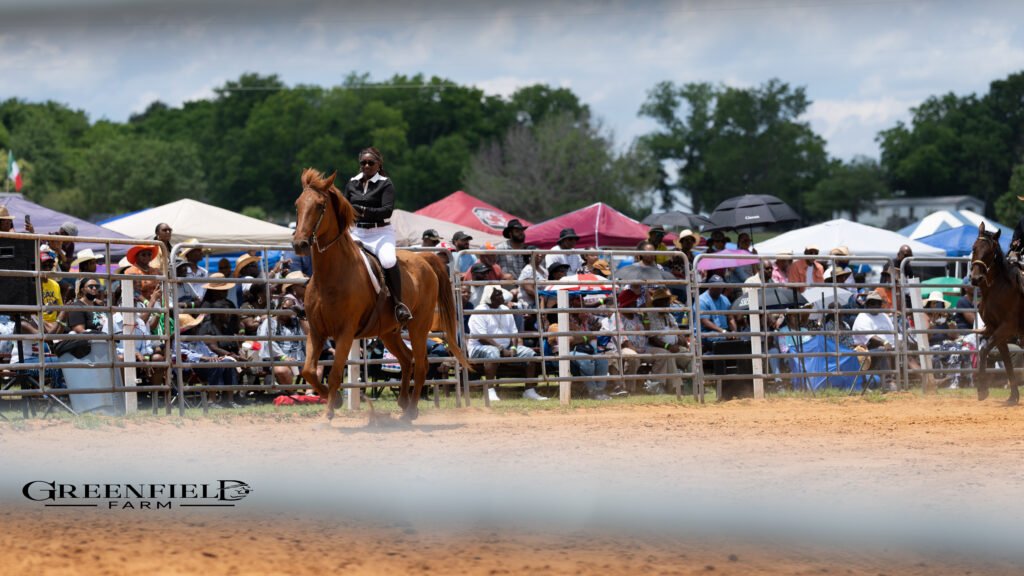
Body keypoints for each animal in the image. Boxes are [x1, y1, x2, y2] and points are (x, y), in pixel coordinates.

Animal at [290, 166, 468, 416]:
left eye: (320, 206)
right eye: (298, 204)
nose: (300, 244)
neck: (332, 275)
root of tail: (424, 258)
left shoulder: (345, 332)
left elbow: (334, 374)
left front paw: (328, 413)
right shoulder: (316, 331)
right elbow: (308, 371)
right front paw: (335, 401)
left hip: (419, 326)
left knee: (421, 364)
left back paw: (410, 411)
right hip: (388, 332)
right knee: (407, 359)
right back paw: (403, 402)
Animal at [970, 219, 1019, 403]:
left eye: (990, 252)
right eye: (974, 248)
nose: (976, 278)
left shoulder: (1007, 327)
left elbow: (984, 350)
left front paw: (982, 390)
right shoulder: (996, 330)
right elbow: (1007, 362)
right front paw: (1013, 397)